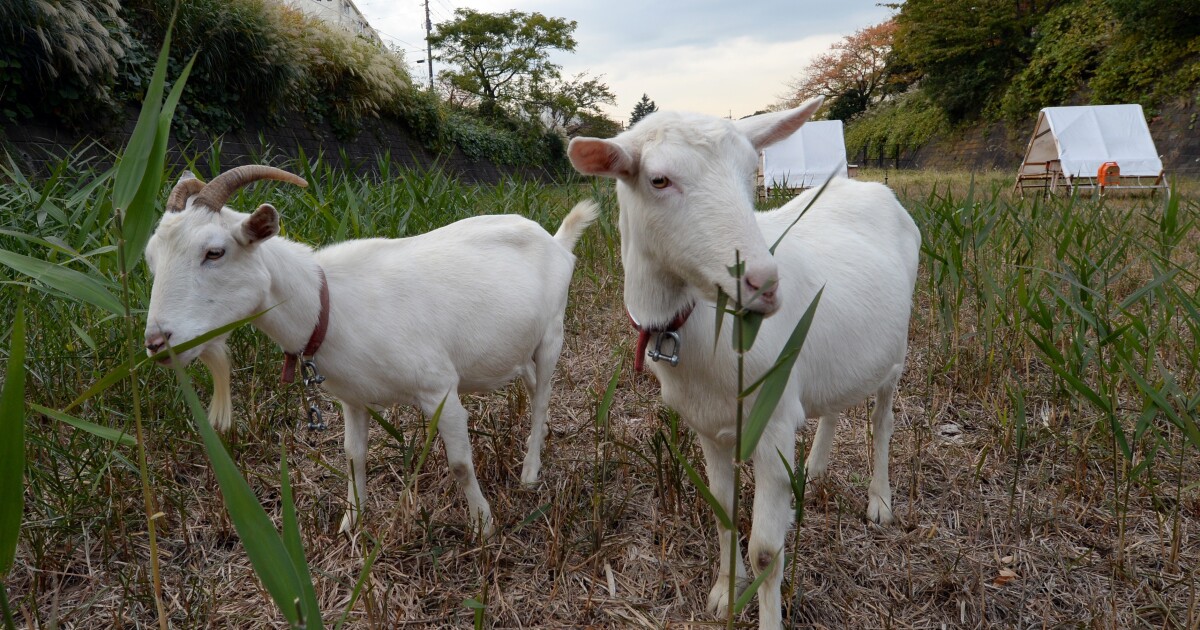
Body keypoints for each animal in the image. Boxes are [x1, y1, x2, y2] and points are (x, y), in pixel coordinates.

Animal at [143, 165, 599, 535]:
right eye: (151, 258)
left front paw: (482, 526)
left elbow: (459, 463)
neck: (328, 302)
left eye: (214, 252)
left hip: (552, 333)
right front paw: (352, 521)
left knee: (543, 394)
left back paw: (530, 471)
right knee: (533, 385)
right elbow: (353, 456)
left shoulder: (439, 388)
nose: (156, 343)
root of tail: (556, 241)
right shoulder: (353, 398)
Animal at [567, 96, 920, 629]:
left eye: (748, 170)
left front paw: (764, 614)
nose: (763, 282)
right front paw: (722, 594)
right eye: (658, 180)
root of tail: (874, 189)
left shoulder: (772, 421)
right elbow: (722, 513)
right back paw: (815, 467)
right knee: (835, 402)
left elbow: (767, 551)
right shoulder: (708, 426)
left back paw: (880, 501)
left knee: (882, 419)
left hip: (895, 353)